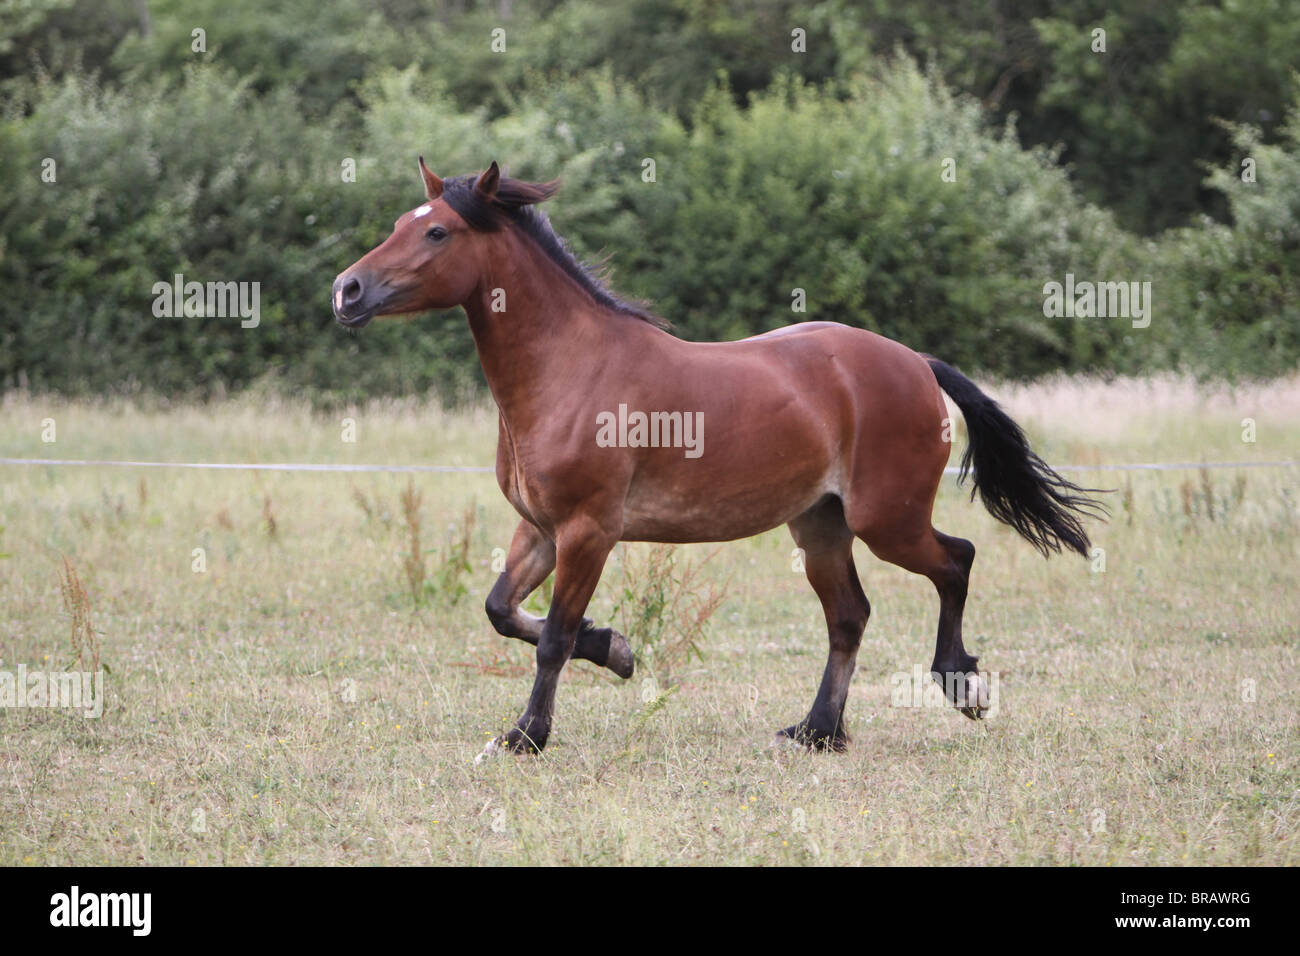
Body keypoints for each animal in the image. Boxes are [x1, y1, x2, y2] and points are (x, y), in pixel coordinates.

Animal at [332, 159, 1106, 758]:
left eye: (436, 230)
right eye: (399, 223)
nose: (347, 290)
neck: (569, 369)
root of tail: (916, 362)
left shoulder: (589, 532)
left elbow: (551, 636)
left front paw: (526, 736)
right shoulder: (542, 529)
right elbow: (501, 610)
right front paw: (616, 649)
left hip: (888, 521)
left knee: (956, 561)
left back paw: (959, 684)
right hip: (820, 525)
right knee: (850, 616)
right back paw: (817, 732)